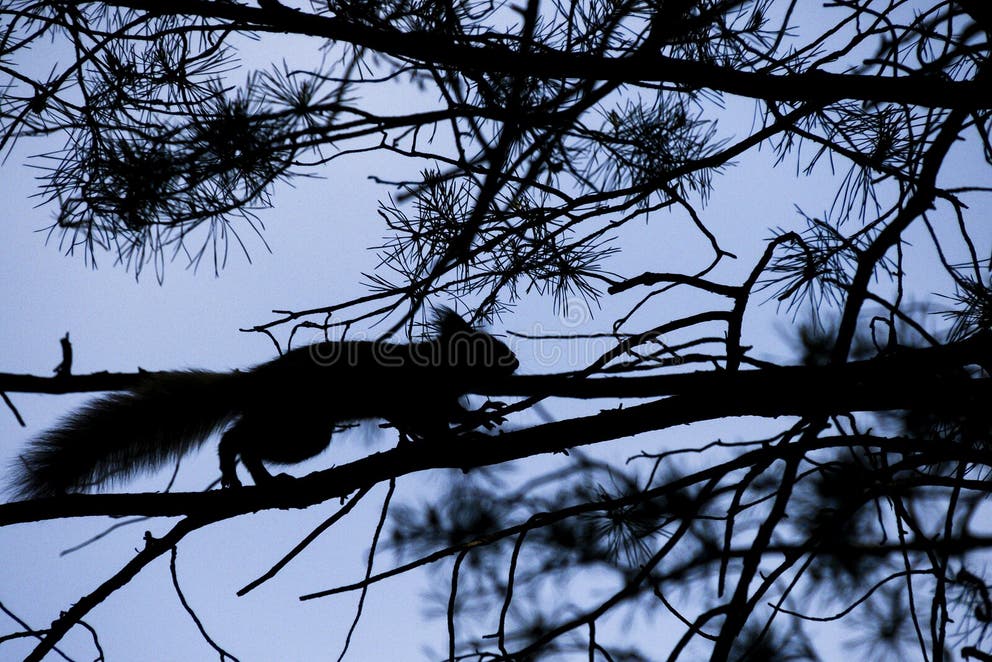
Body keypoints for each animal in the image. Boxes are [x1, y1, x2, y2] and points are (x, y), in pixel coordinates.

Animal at [11, 309, 519, 499]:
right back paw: (245, 472)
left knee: (243, 434)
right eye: (488, 349)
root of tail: (256, 381)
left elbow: (444, 416)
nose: (514, 362)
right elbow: (426, 421)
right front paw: (450, 438)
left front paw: (477, 416)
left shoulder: (433, 398)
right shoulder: (413, 393)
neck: (436, 367)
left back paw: (249, 476)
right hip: (301, 428)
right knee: (239, 436)